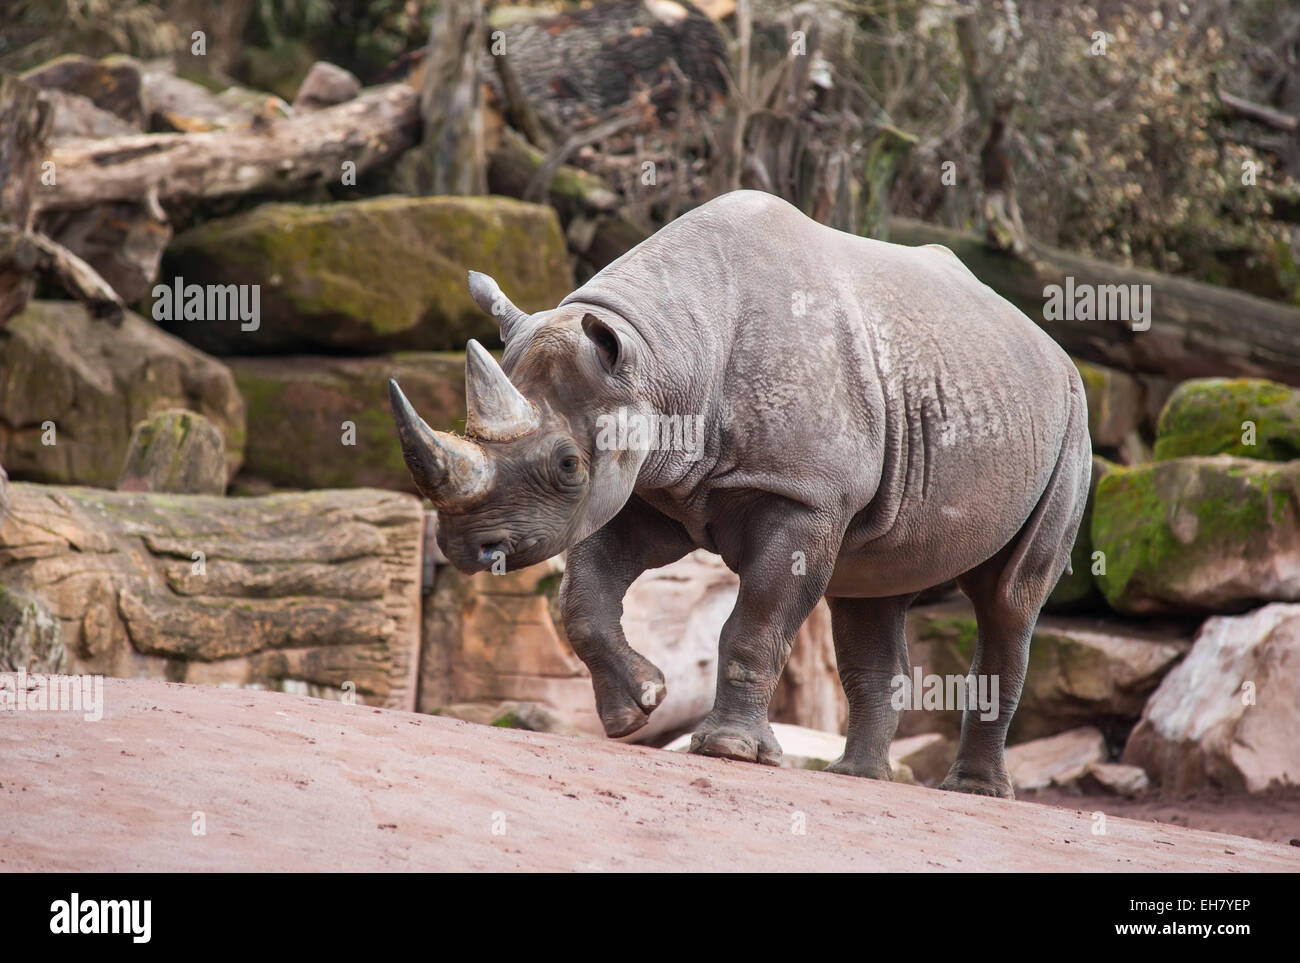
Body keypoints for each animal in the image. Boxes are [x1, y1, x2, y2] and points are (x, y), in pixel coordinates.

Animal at [390, 190, 1091, 797]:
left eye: (567, 464)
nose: (465, 547)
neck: (659, 353)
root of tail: (1050, 346)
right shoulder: (649, 482)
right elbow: (582, 597)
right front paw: (637, 709)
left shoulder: (804, 495)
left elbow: (755, 621)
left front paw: (728, 751)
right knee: (873, 589)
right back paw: (856, 777)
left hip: (1069, 421)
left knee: (1007, 601)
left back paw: (973, 789)